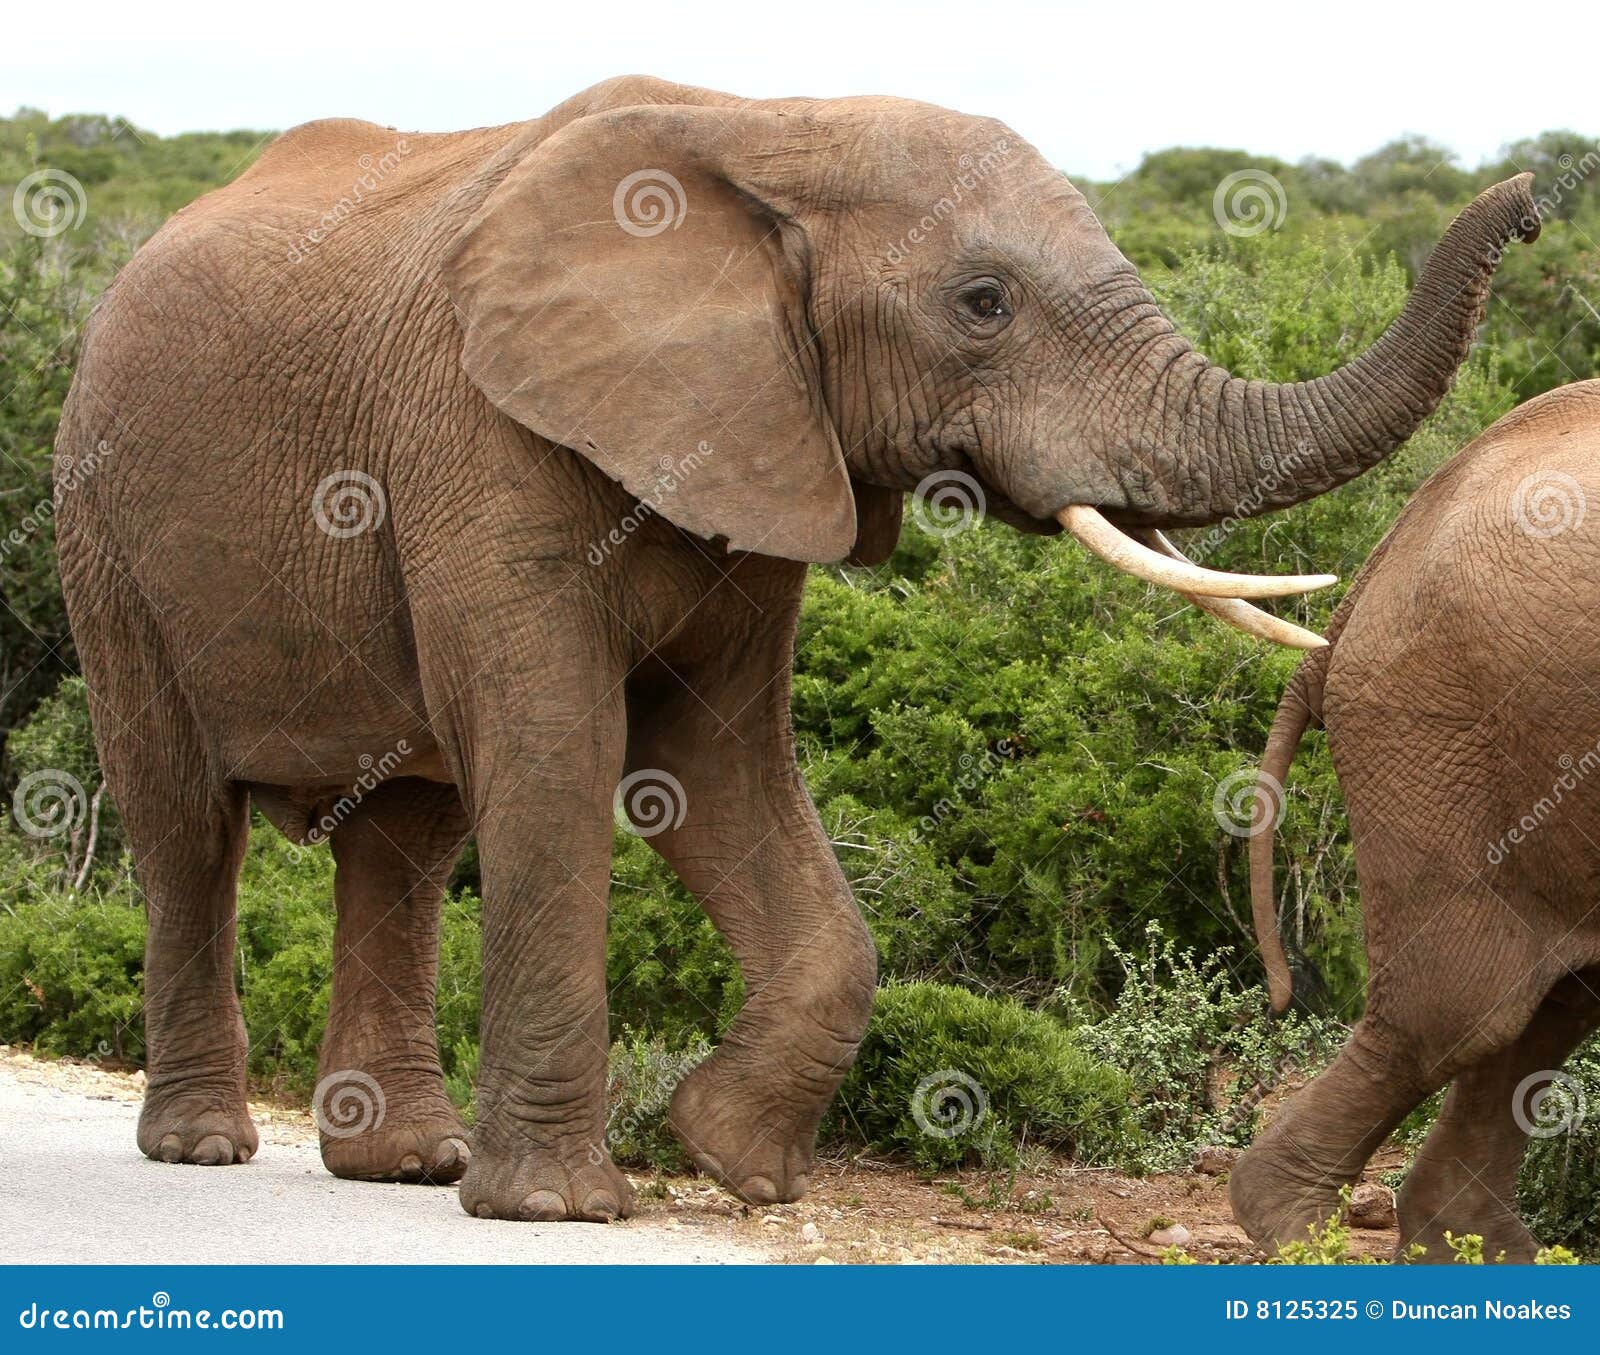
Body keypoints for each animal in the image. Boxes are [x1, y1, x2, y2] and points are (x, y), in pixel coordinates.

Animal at [52, 73, 1538, 1223]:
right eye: (984, 302)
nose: (1529, 200)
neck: (767, 127)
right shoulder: (483, 436)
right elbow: (558, 750)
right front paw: (566, 1205)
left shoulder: (766, 437)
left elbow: (714, 760)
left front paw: (730, 1157)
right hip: (103, 528)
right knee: (185, 823)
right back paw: (208, 1144)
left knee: (401, 839)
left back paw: (407, 1162)